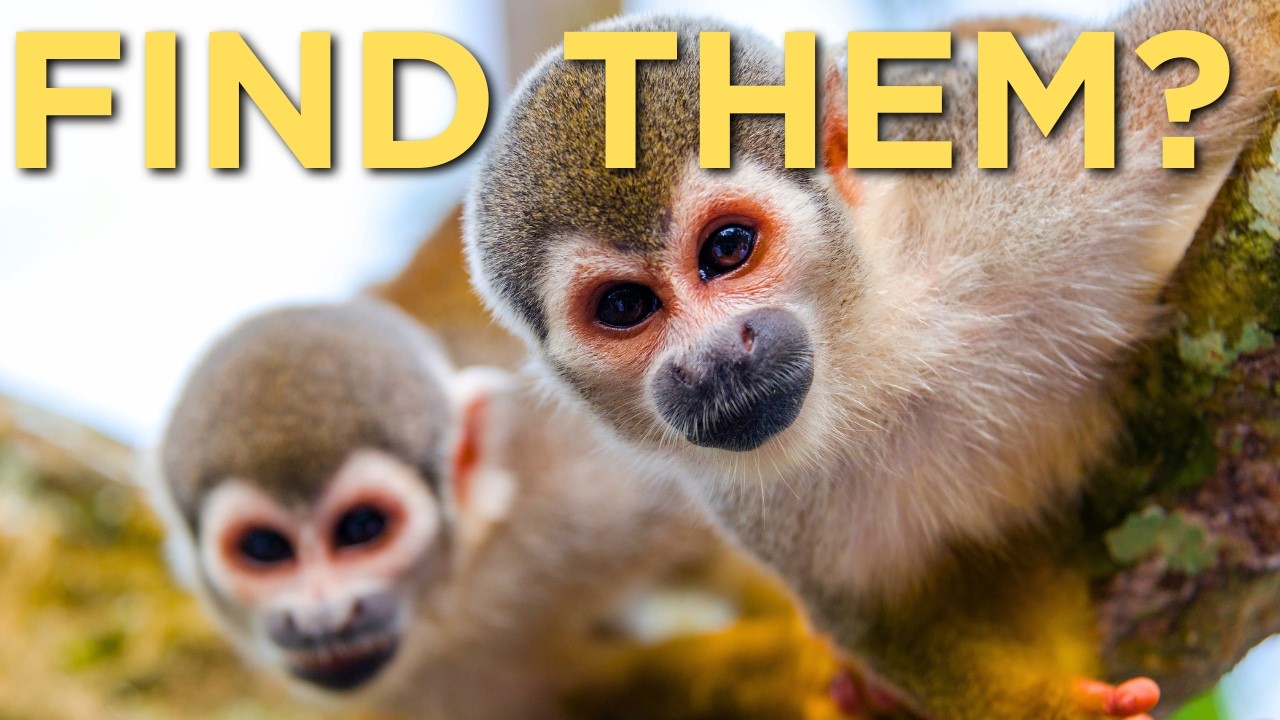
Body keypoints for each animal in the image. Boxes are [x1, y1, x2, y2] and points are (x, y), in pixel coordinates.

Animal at [462, 1, 1280, 718]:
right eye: (626, 306)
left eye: (727, 248)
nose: (714, 361)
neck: (875, 347)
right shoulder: (751, 502)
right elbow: (889, 615)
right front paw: (1043, 708)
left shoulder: (1028, 159)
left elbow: (1230, 39)